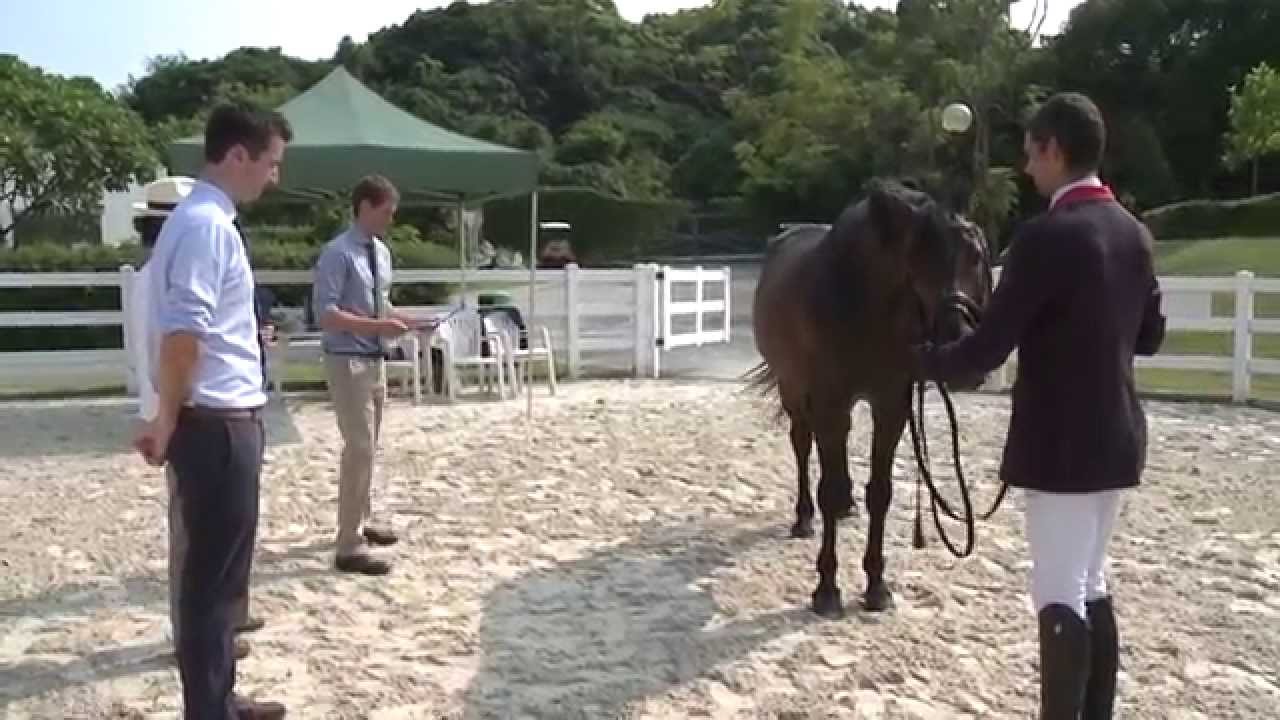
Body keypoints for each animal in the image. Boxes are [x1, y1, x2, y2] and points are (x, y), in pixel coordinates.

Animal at [748, 178, 994, 617]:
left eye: (977, 257)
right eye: (917, 263)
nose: (961, 352)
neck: (862, 306)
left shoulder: (890, 404)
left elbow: (880, 493)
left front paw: (877, 586)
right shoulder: (828, 403)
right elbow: (827, 489)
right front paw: (827, 590)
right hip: (795, 392)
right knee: (802, 447)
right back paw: (803, 518)